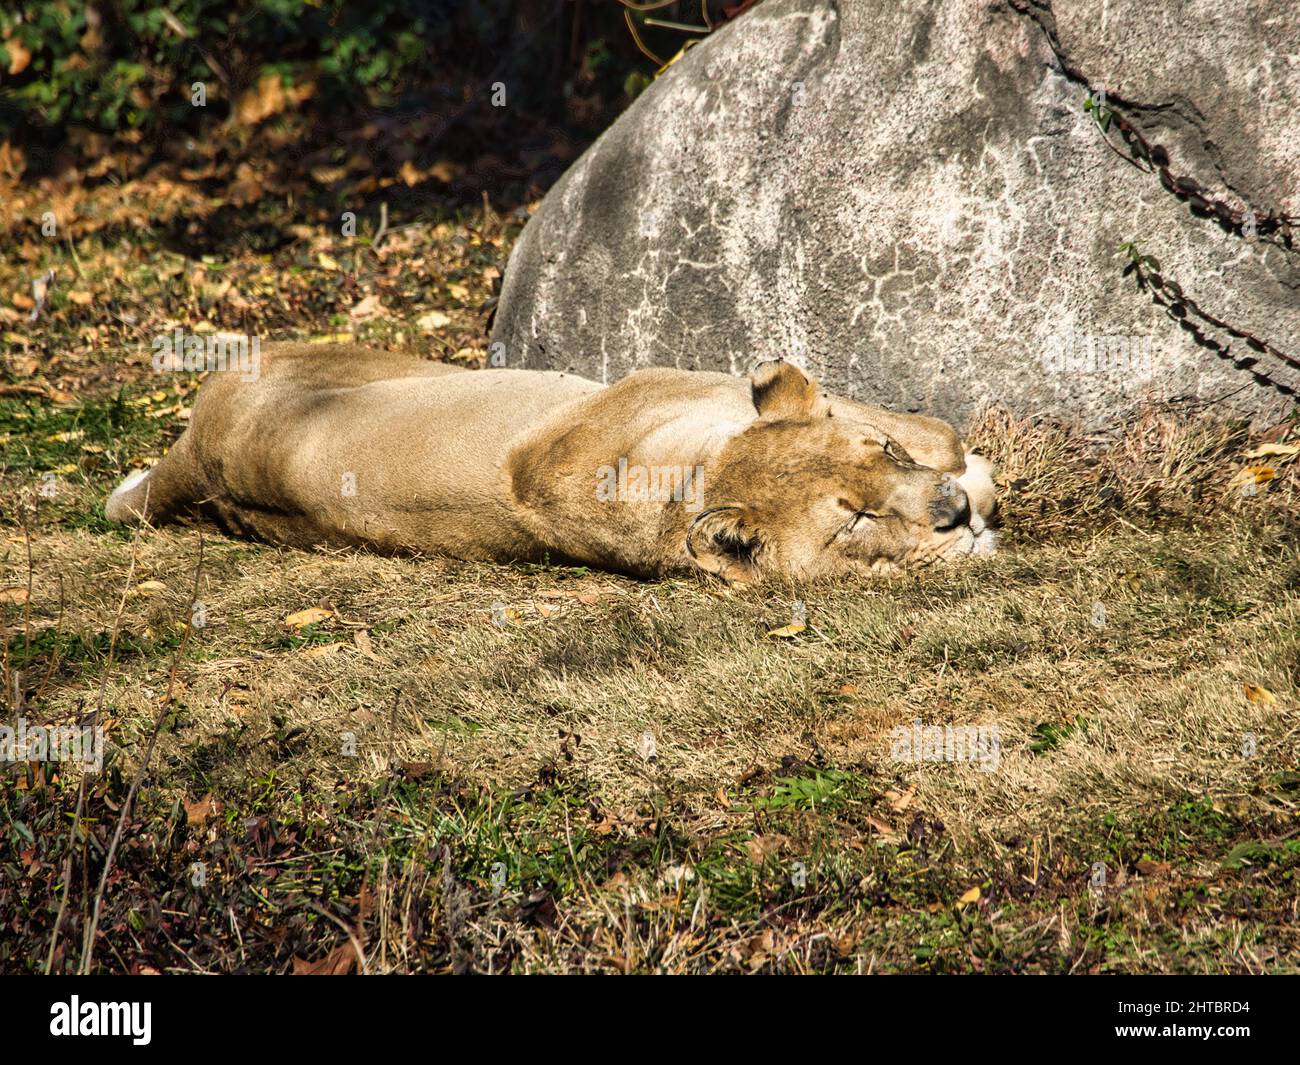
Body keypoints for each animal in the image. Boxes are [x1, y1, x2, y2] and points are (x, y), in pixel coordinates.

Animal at [106, 344, 996, 581]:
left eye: (883, 460)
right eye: (853, 522)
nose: (955, 514)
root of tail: (203, 447)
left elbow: (923, 427)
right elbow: (940, 426)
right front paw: (975, 493)